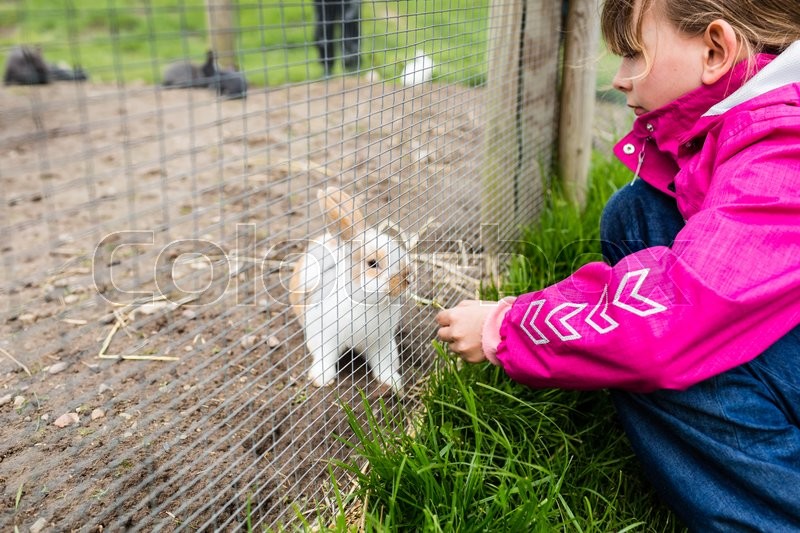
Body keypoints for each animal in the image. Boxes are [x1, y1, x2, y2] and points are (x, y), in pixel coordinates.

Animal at [289, 187, 411, 392]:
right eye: (373, 263)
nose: (408, 277)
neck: (365, 303)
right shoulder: (324, 336)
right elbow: (325, 358)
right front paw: (322, 379)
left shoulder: (382, 342)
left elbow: (385, 363)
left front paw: (392, 383)